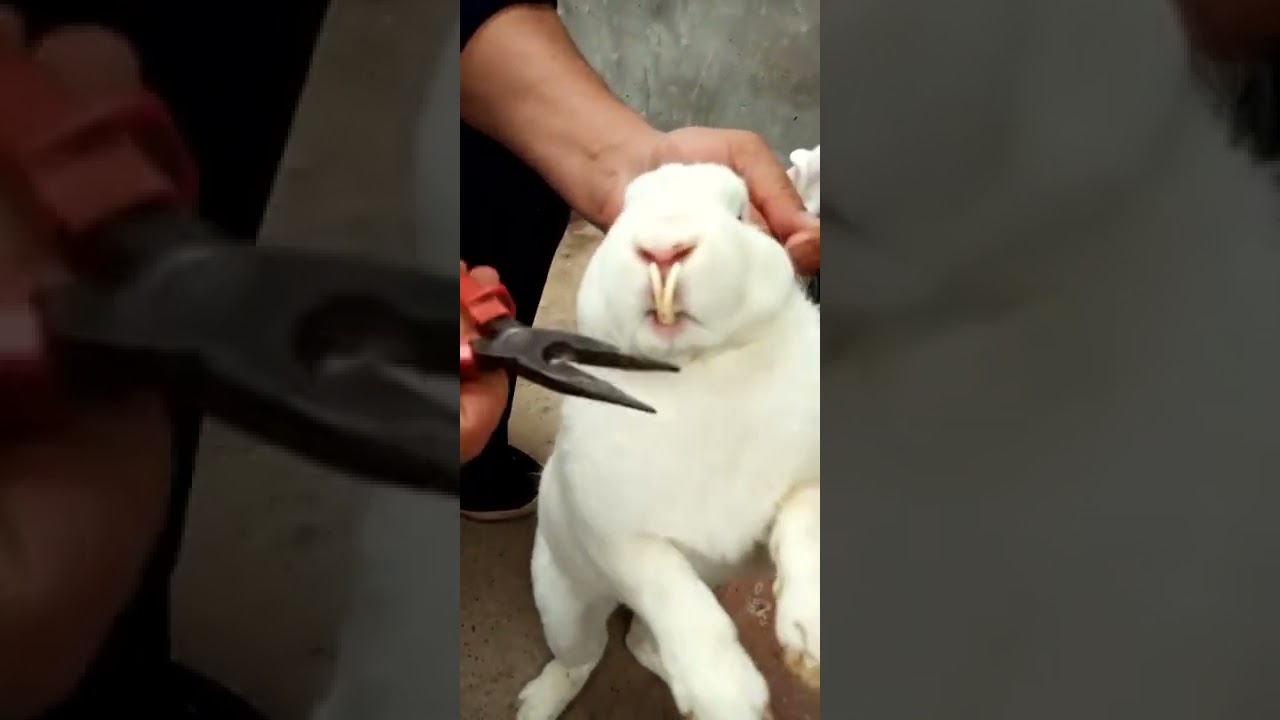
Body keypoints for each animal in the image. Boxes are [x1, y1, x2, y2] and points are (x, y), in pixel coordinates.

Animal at [515, 162, 820, 720]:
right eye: (622, 212)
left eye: (740, 212)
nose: (663, 249)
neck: (696, 370)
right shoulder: (618, 534)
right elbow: (674, 593)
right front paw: (727, 692)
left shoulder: (806, 483)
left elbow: (803, 528)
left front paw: (807, 640)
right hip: (563, 603)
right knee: (582, 656)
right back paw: (538, 705)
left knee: (638, 640)